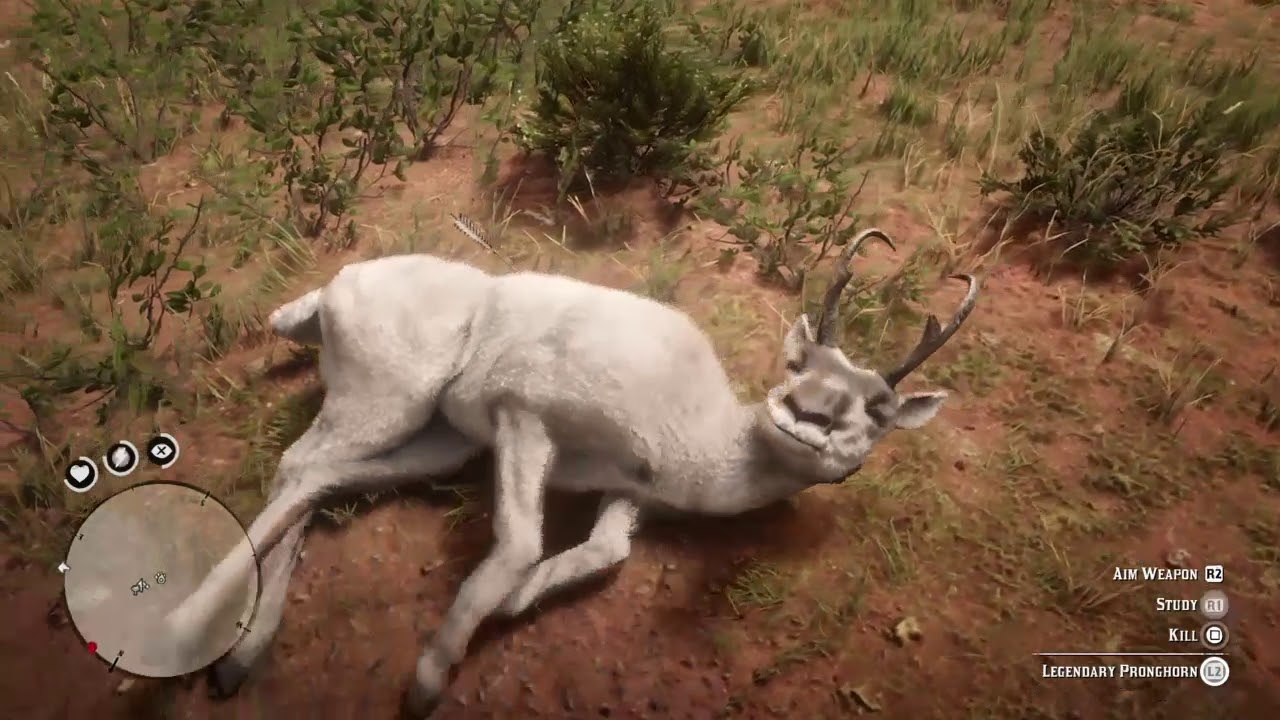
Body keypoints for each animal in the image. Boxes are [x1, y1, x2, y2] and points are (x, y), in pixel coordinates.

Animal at [161, 218, 979, 717]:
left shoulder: (625, 492)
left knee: (317, 481)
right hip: (391, 397)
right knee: (300, 466)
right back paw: (186, 632)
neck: (704, 435)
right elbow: (521, 541)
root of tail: (331, 289)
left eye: (879, 407)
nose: (807, 411)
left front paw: (514, 604)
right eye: (799, 362)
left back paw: (240, 661)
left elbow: (606, 551)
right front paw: (428, 679)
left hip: (436, 440)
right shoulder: (525, 419)